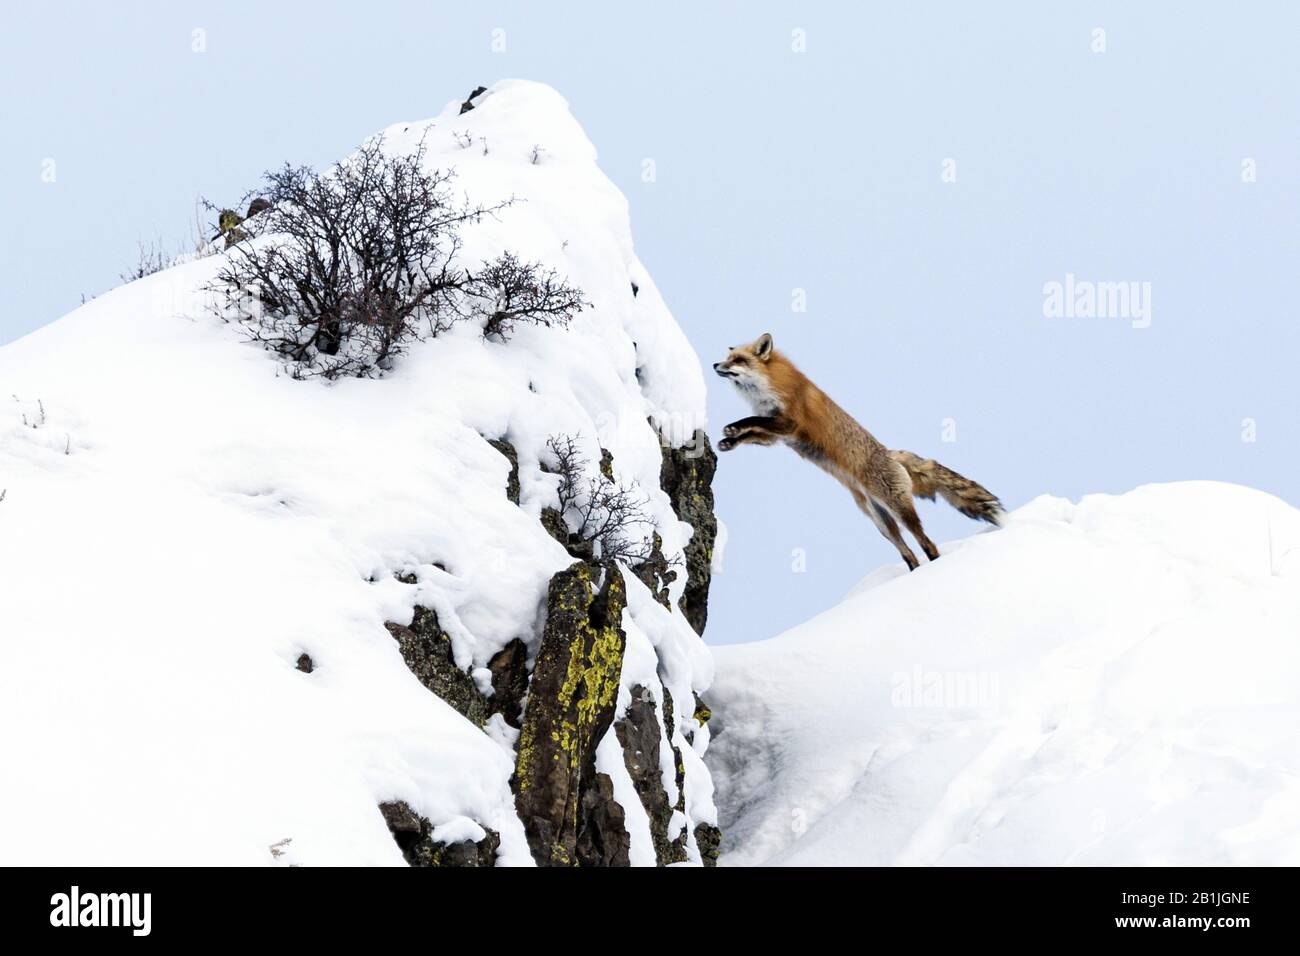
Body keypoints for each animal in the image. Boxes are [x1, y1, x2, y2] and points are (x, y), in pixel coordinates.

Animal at [713, 333, 1003, 570]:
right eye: (728, 358)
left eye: (738, 360)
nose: (716, 365)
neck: (767, 389)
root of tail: (889, 453)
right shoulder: (775, 436)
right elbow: (751, 433)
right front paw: (728, 442)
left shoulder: (789, 423)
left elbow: (751, 420)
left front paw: (732, 428)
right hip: (881, 523)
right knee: (908, 554)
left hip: (899, 510)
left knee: (927, 544)